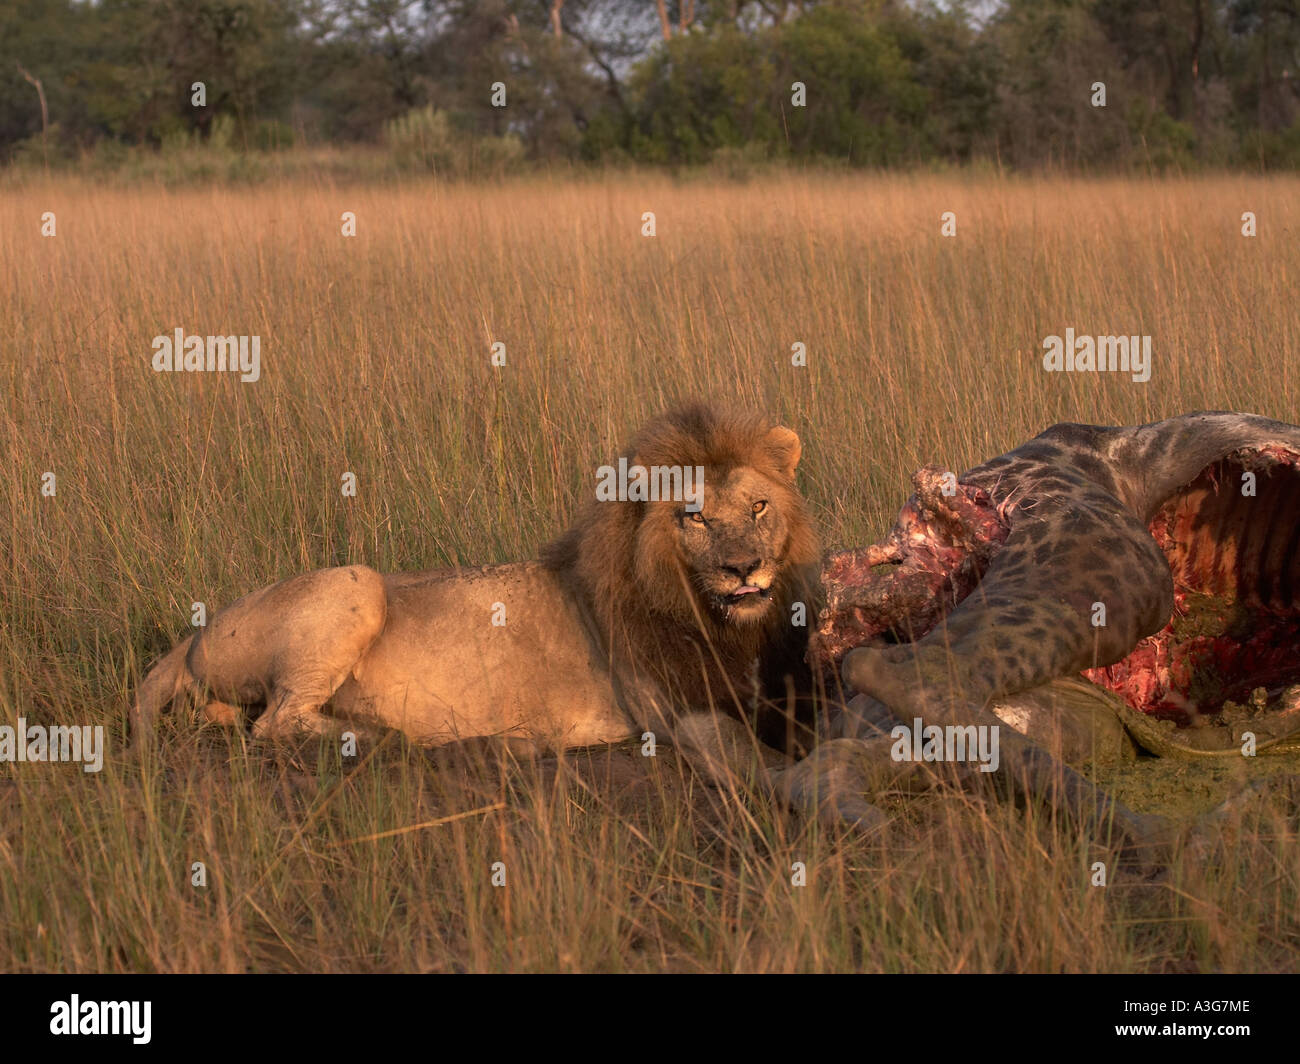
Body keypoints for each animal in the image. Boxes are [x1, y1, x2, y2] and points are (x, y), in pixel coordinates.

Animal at [131, 404, 855, 814]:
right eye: (696, 518)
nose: (744, 568)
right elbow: (750, 755)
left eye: (759, 507)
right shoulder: (674, 710)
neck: (714, 619)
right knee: (275, 722)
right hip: (356, 584)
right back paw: (387, 737)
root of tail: (191, 636)